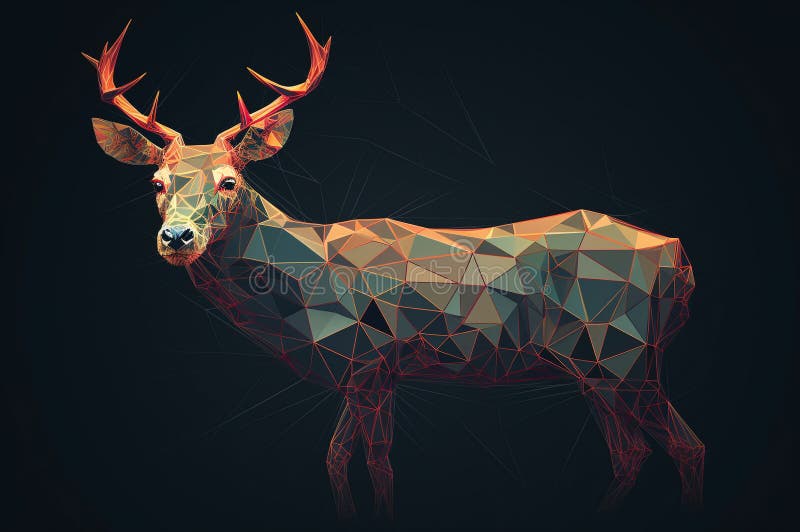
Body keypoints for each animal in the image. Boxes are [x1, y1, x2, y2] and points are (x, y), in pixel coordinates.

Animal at [84, 14, 704, 518]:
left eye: (230, 181)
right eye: (156, 182)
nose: (176, 236)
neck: (306, 282)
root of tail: (680, 257)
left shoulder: (374, 360)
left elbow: (375, 461)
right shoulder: (356, 375)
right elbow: (335, 457)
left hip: (621, 352)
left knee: (682, 445)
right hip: (601, 366)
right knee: (634, 450)